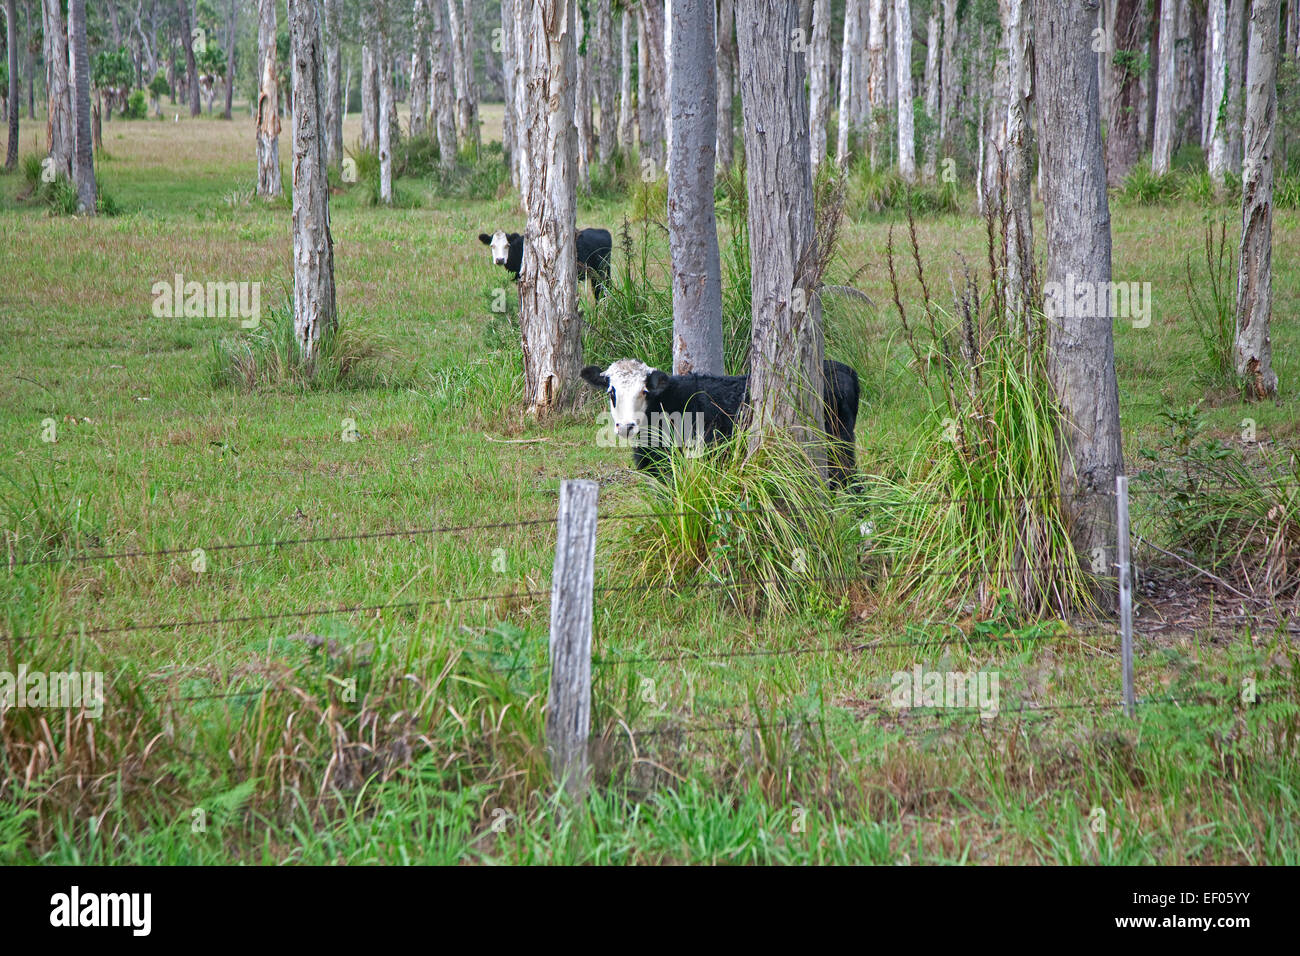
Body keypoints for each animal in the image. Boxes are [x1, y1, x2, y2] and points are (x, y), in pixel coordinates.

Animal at [478, 227, 613, 300]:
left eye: (507, 245)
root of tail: (603, 231)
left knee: (600, 292)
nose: (500, 259)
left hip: (600, 272)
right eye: (492, 245)